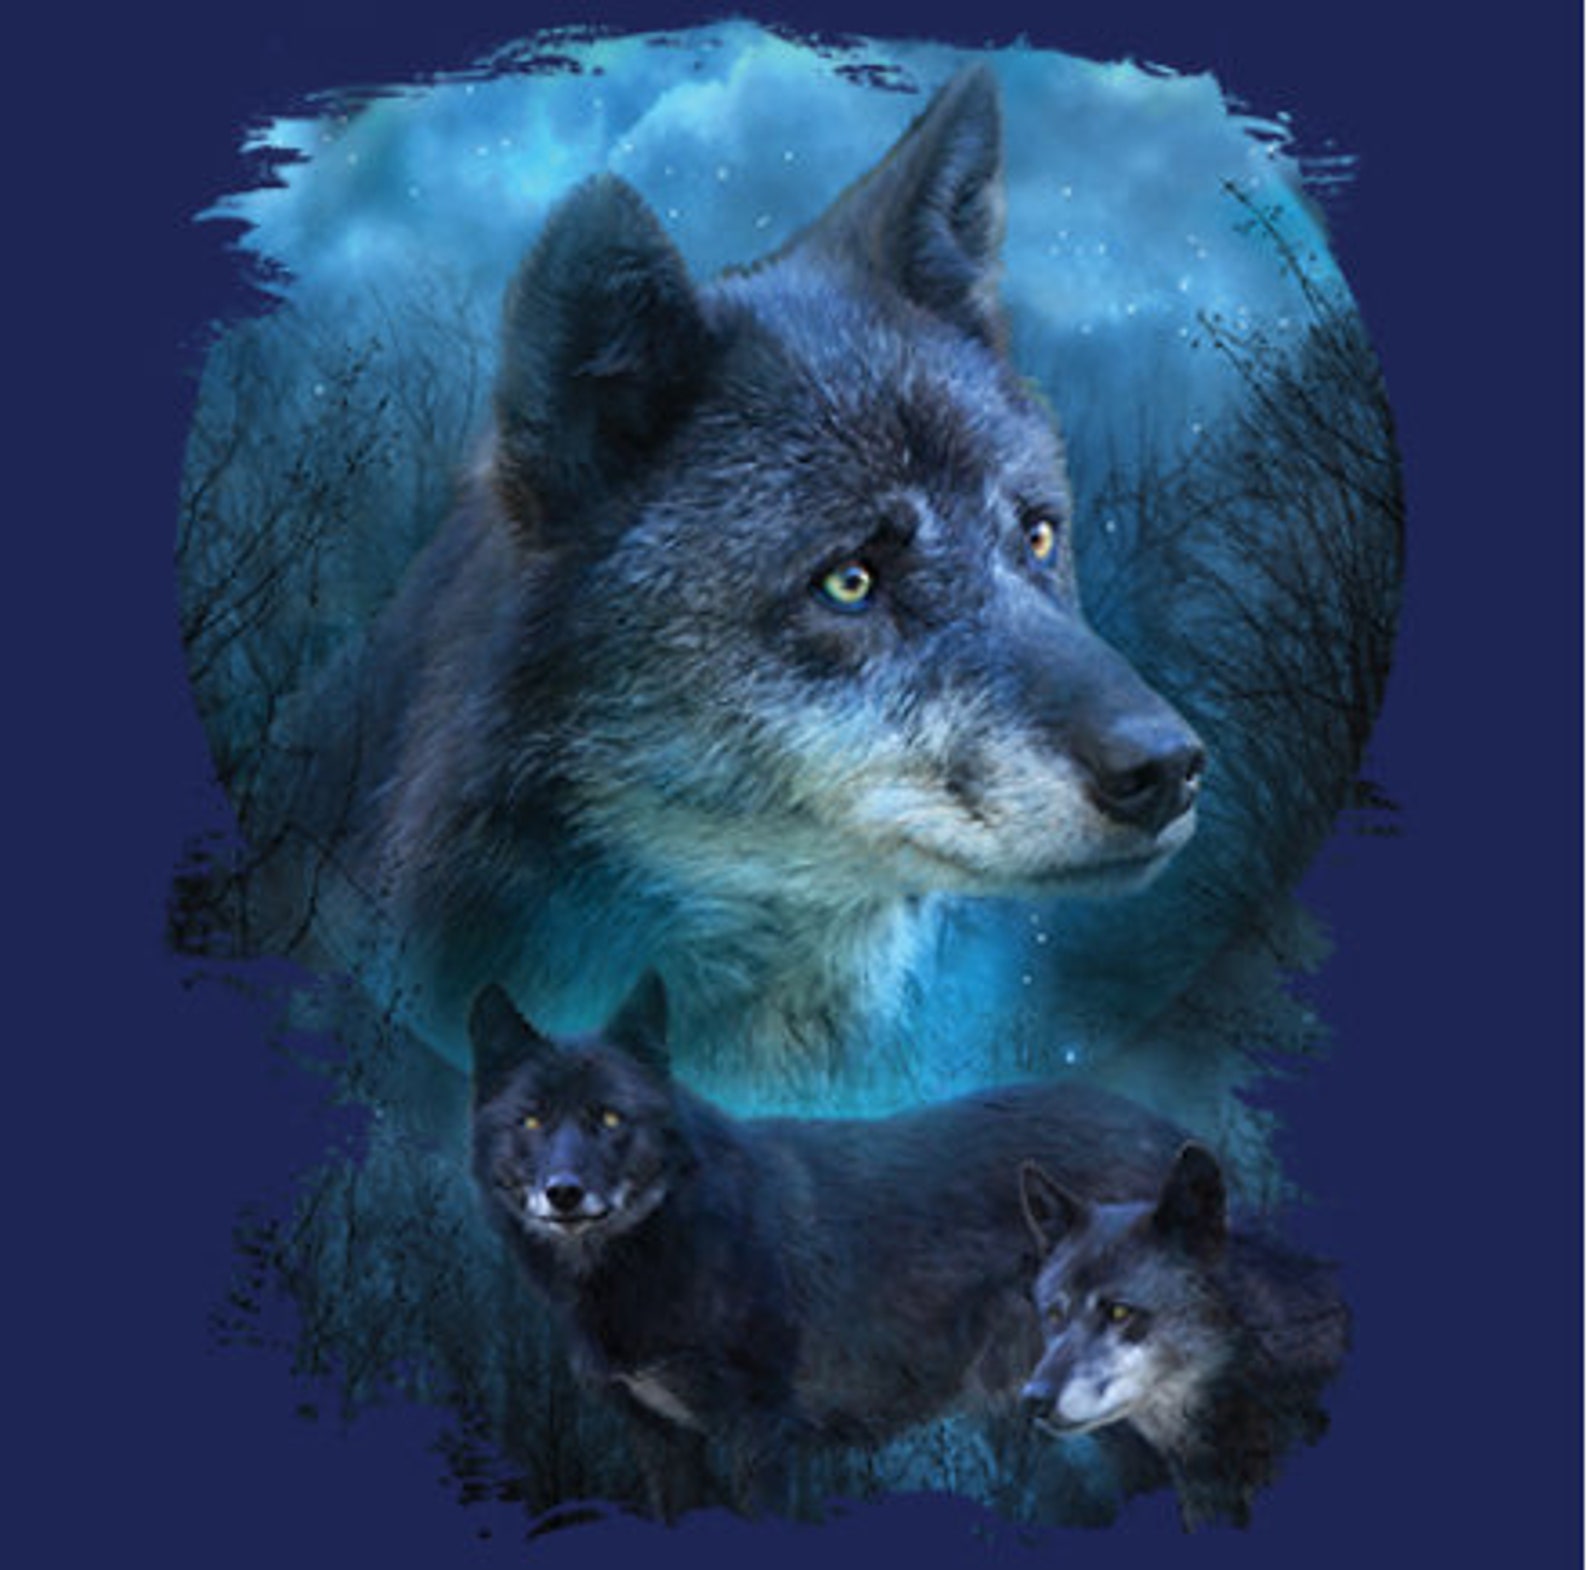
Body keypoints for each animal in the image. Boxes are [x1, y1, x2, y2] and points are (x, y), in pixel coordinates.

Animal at [467, 974, 1191, 1519]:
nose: (564, 1192)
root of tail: (1171, 1133)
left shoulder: (760, 1436)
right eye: (530, 1120)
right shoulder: (664, 1441)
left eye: (610, 1117)